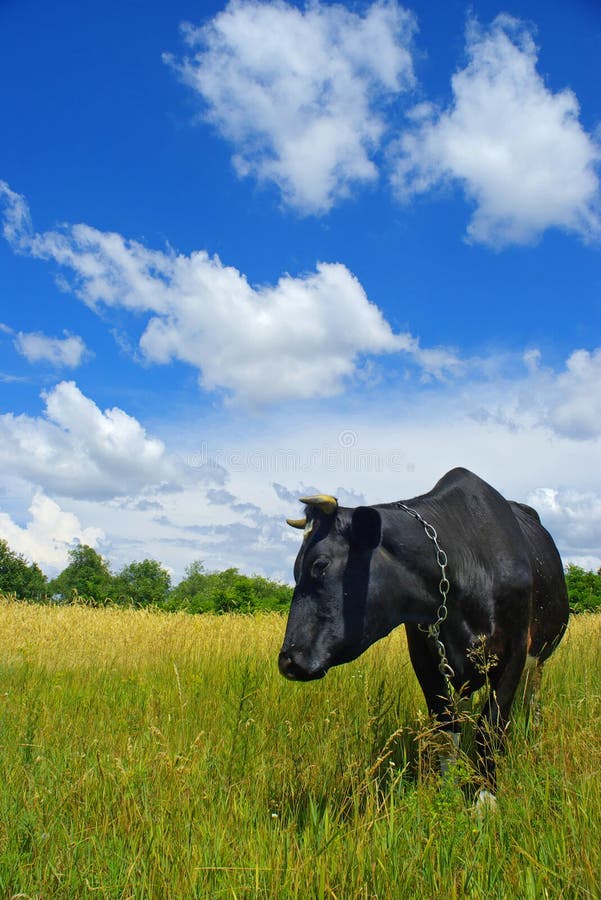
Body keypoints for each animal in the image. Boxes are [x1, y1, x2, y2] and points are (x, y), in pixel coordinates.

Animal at [279, 467, 569, 804]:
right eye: (295, 570)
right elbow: (445, 727)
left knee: (532, 696)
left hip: (541, 655)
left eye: (320, 564)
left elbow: (490, 727)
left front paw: (486, 798)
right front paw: (449, 792)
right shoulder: (424, 656)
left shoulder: (515, 650)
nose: (287, 661)